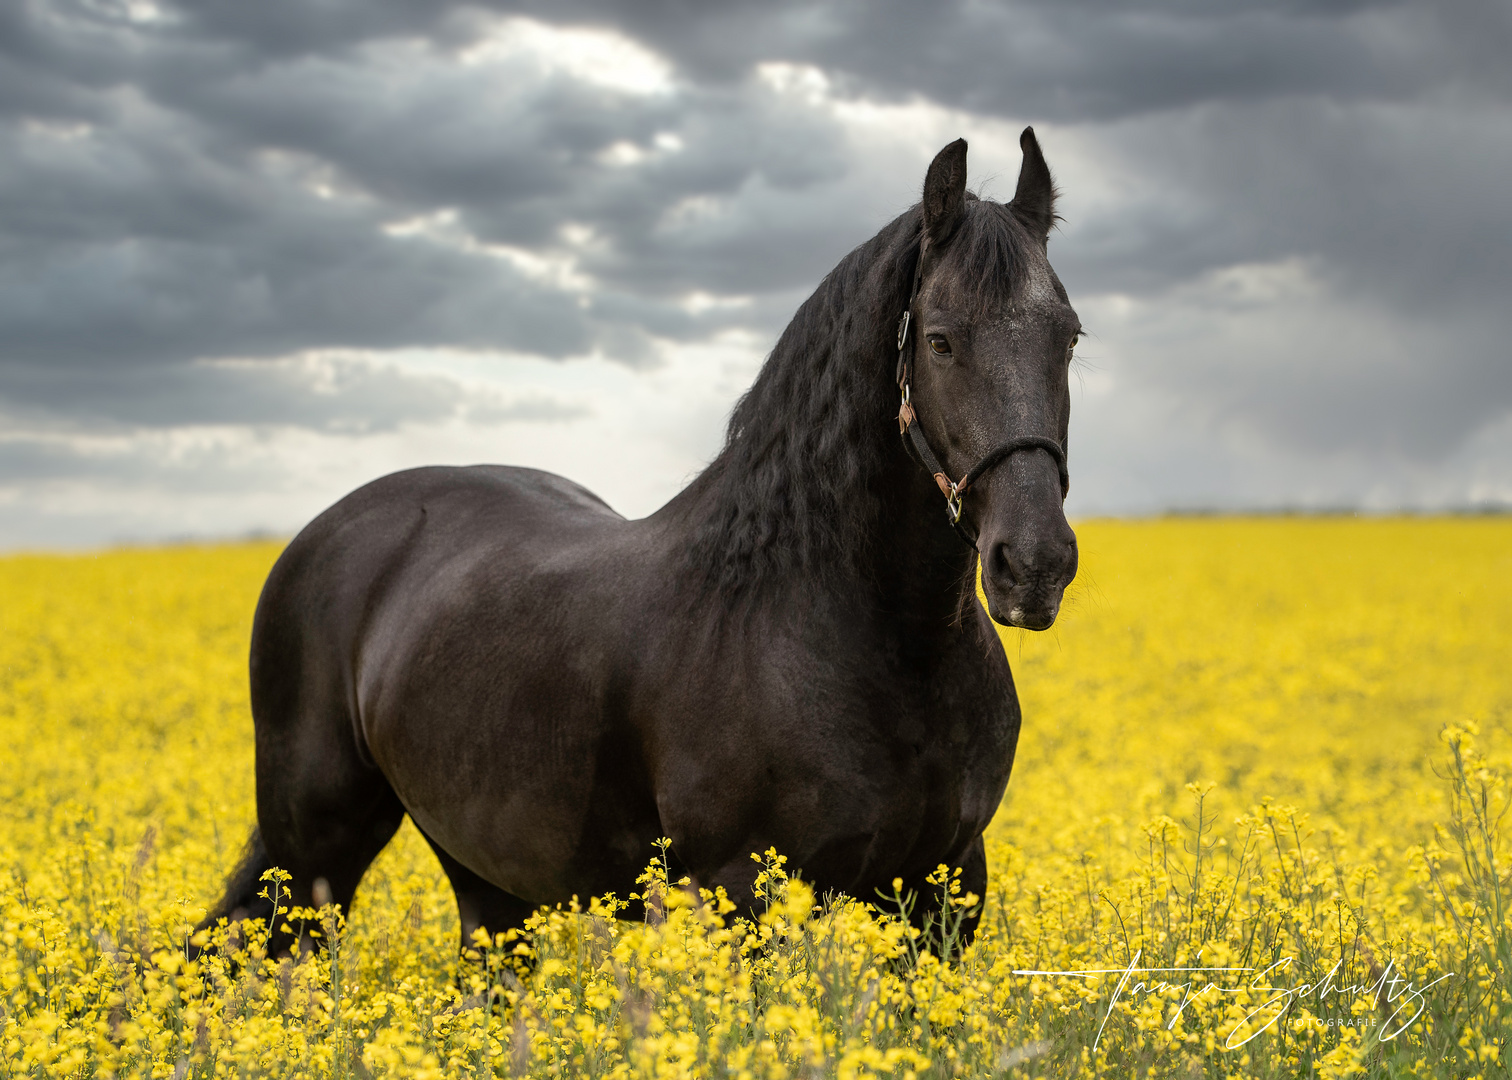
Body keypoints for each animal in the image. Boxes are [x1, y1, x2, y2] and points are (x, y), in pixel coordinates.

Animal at [200, 130, 1080, 956]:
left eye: (1068, 336)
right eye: (939, 340)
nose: (1034, 565)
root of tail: (325, 533)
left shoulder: (946, 887)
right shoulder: (737, 892)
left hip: (485, 868)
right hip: (313, 851)